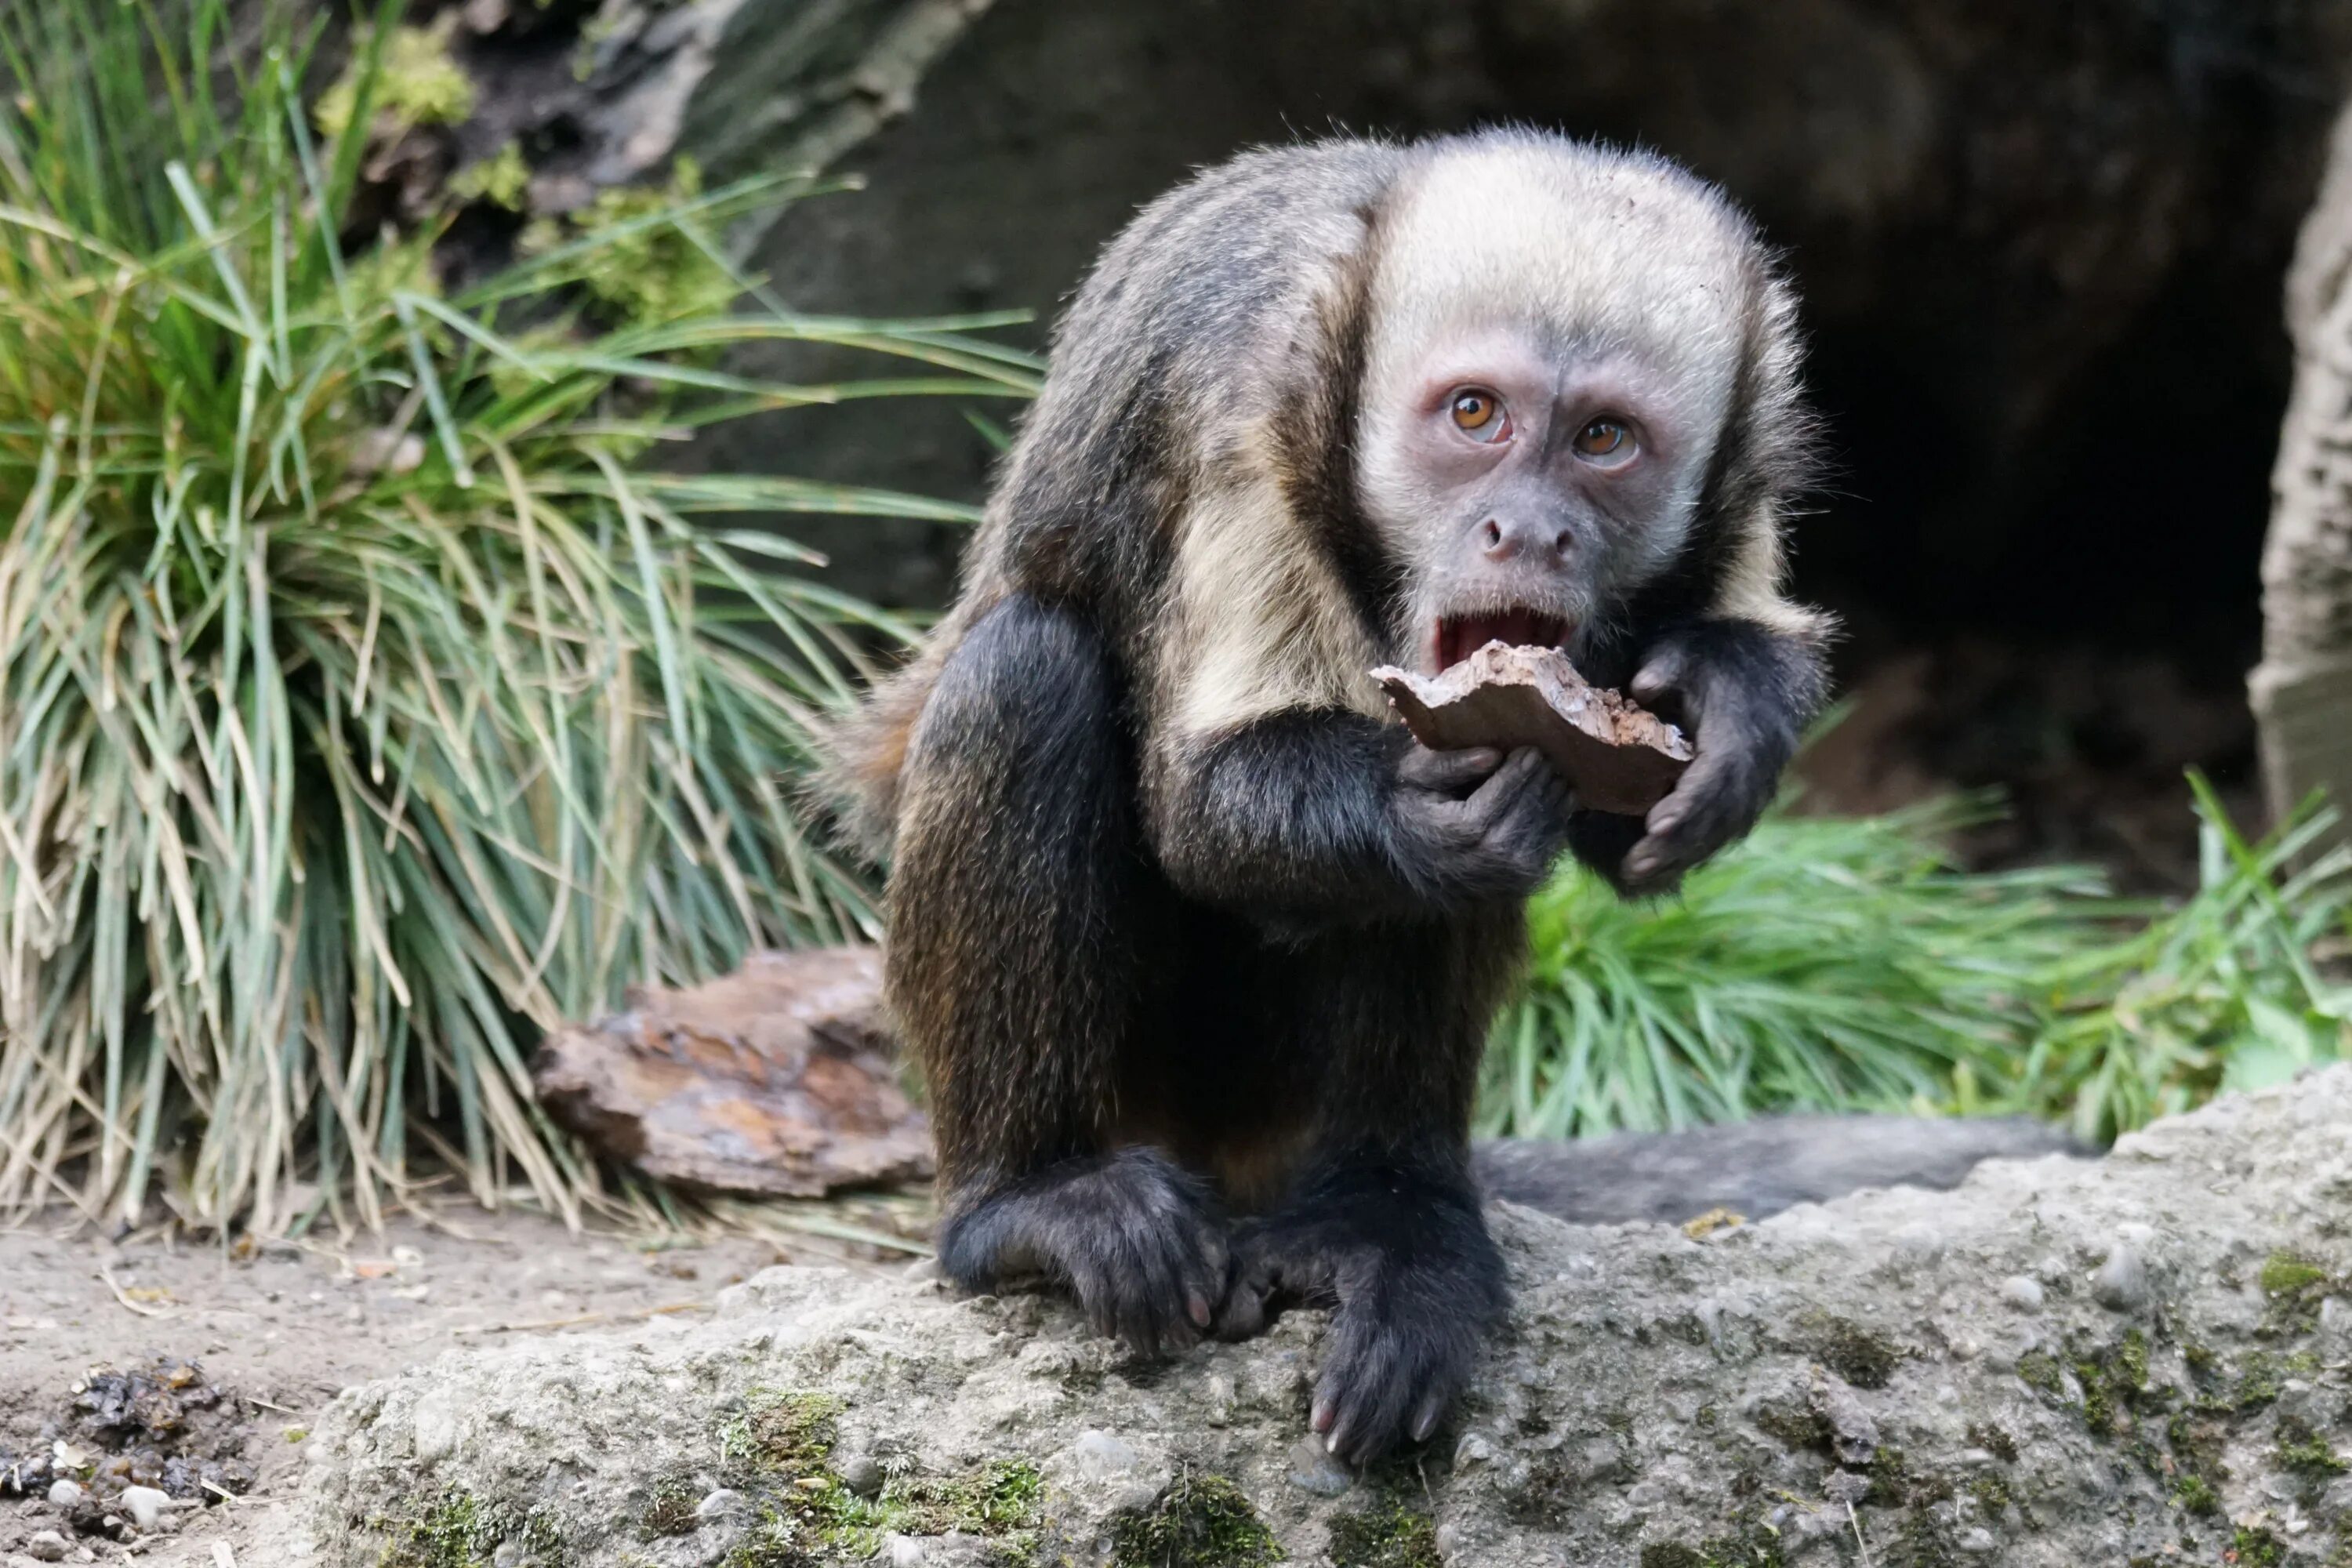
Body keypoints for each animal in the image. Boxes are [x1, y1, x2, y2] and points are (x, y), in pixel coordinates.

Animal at [827, 129, 1854, 1464]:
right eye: (1476, 415)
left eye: (1603, 440)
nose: (1529, 530)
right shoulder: (1249, 416)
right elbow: (1202, 807)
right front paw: (1427, 814)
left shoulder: (1743, 476)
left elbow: (1625, 818)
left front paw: (1731, 702)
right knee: (1028, 669)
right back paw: (1028, 1199)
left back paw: (1385, 1219)